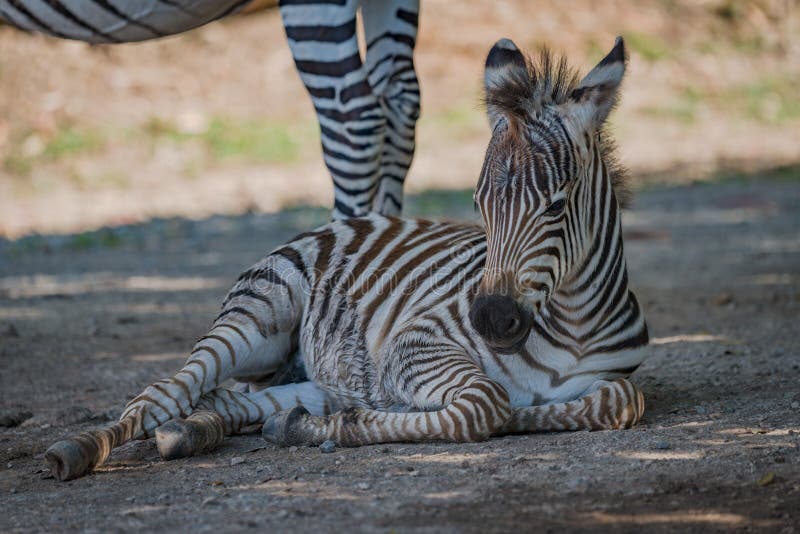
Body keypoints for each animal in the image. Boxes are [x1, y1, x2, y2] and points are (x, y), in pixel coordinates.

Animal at [43, 36, 649, 481]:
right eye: (479, 205)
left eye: (557, 204)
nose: (490, 319)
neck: (571, 326)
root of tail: (345, 220)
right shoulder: (414, 346)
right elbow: (487, 403)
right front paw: (352, 425)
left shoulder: (611, 381)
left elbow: (620, 401)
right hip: (256, 318)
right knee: (163, 392)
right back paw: (78, 451)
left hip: (306, 375)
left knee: (228, 399)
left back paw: (192, 432)